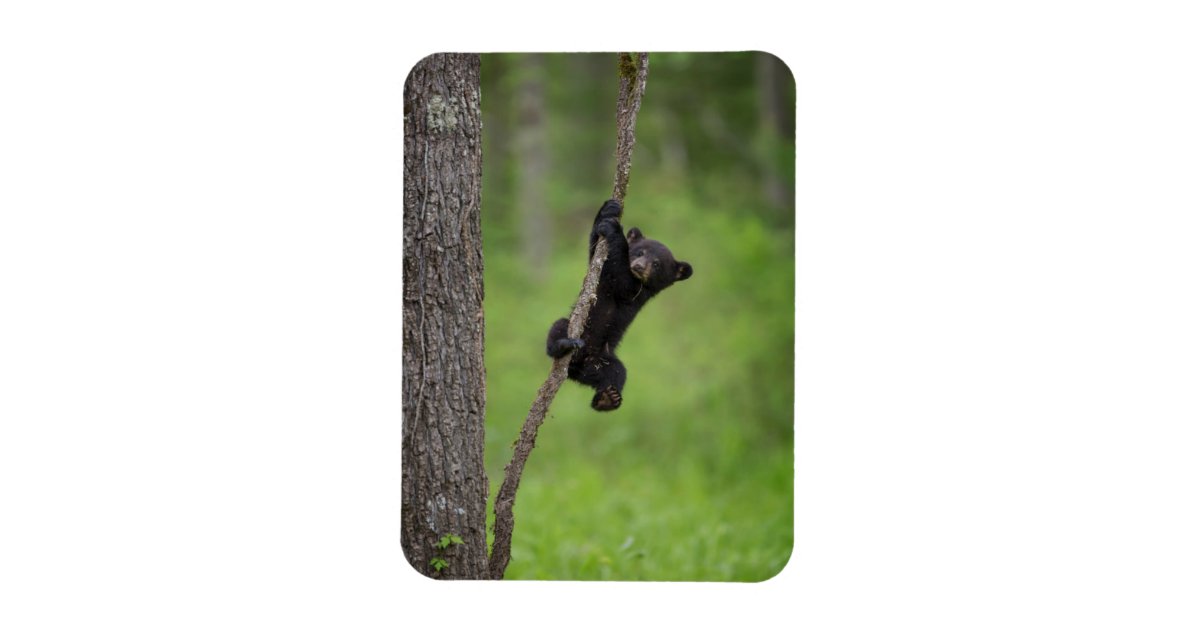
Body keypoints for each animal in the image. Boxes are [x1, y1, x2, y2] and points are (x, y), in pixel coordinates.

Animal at [546, 199, 693, 411]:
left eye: (657, 264)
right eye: (639, 252)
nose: (639, 266)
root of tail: (577, 368)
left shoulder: (638, 292)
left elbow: (623, 282)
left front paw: (615, 229)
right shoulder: (601, 272)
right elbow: (594, 250)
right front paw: (608, 210)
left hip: (605, 358)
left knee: (617, 372)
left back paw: (608, 398)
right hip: (575, 332)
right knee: (559, 327)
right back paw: (564, 344)